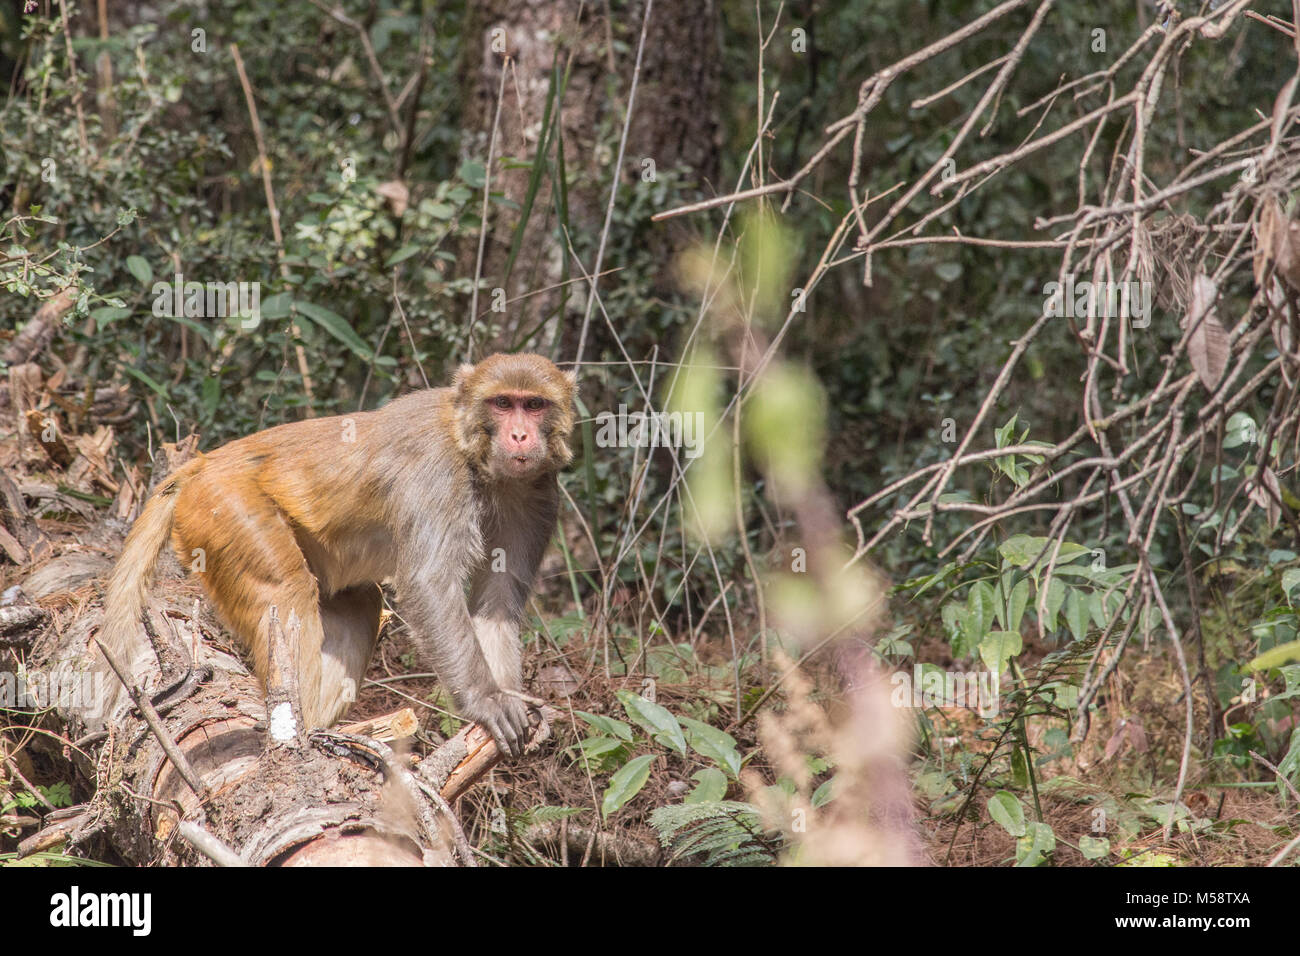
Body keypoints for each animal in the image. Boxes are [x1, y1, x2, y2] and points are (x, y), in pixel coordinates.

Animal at [93, 353, 577, 757]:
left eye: (535, 404)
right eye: (503, 403)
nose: (520, 434)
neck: (474, 451)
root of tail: (204, 463)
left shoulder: (538, 492)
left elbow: (498, 598)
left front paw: (514, 702)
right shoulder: (437, 469)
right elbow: (430, 584)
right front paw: (485, 701)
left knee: (357, 601)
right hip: (225, 508)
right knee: (286, 589)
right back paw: (298, 732)